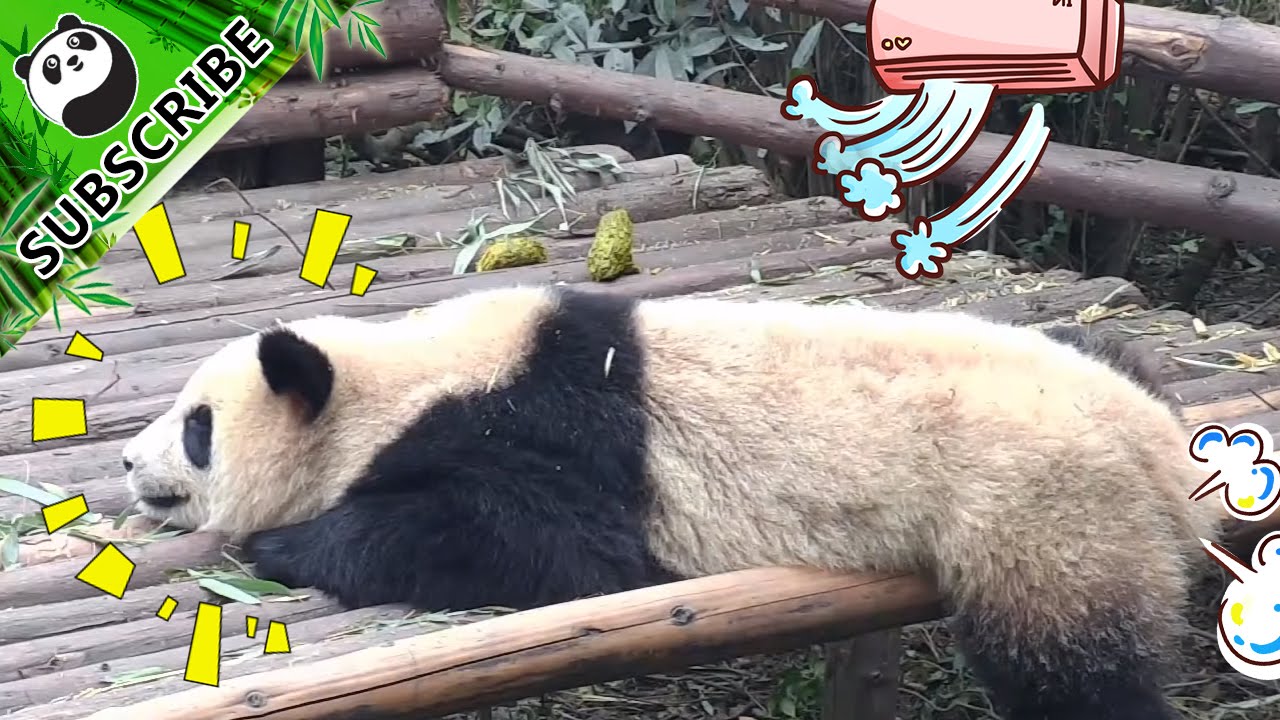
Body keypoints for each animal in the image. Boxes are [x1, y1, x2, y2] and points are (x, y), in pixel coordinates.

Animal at [121, 285, 1222, 720]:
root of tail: (1161, 452)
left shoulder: (550, 427)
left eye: (196, 426)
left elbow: (549, 550)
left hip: (1044, 511)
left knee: (1073, 669)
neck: (403, 377)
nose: (128, 465)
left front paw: (290, 542)